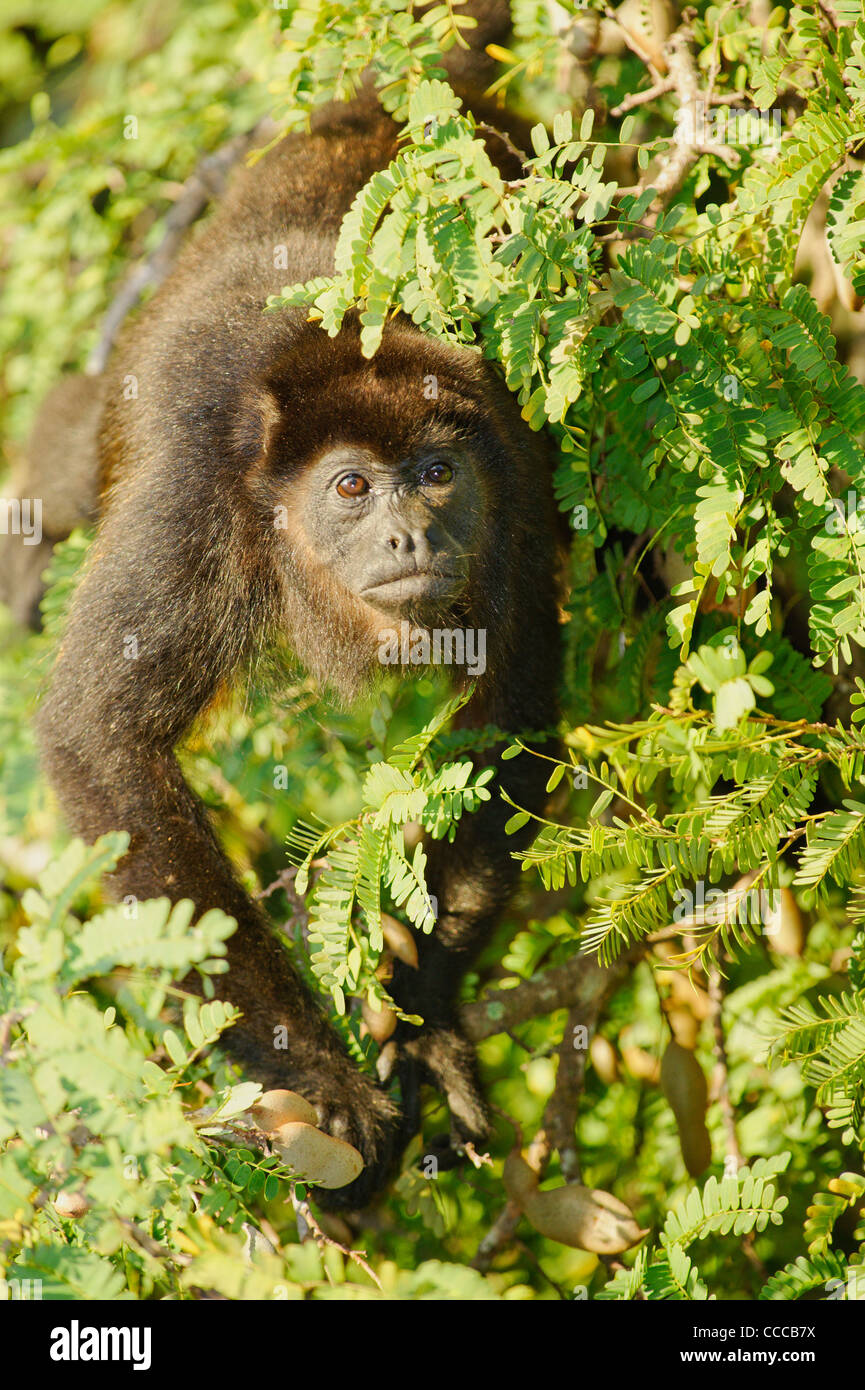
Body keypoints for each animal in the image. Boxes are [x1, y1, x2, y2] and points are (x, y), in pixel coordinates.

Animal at [6, 52, 565, 1208]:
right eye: (350, 487)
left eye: (435, 474)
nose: (408, 534)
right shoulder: (192, 504)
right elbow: (101, 736)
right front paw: (317, 1073)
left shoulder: (516, 475)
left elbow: (511, 706)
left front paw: (425, 1012)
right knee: (80, 443)